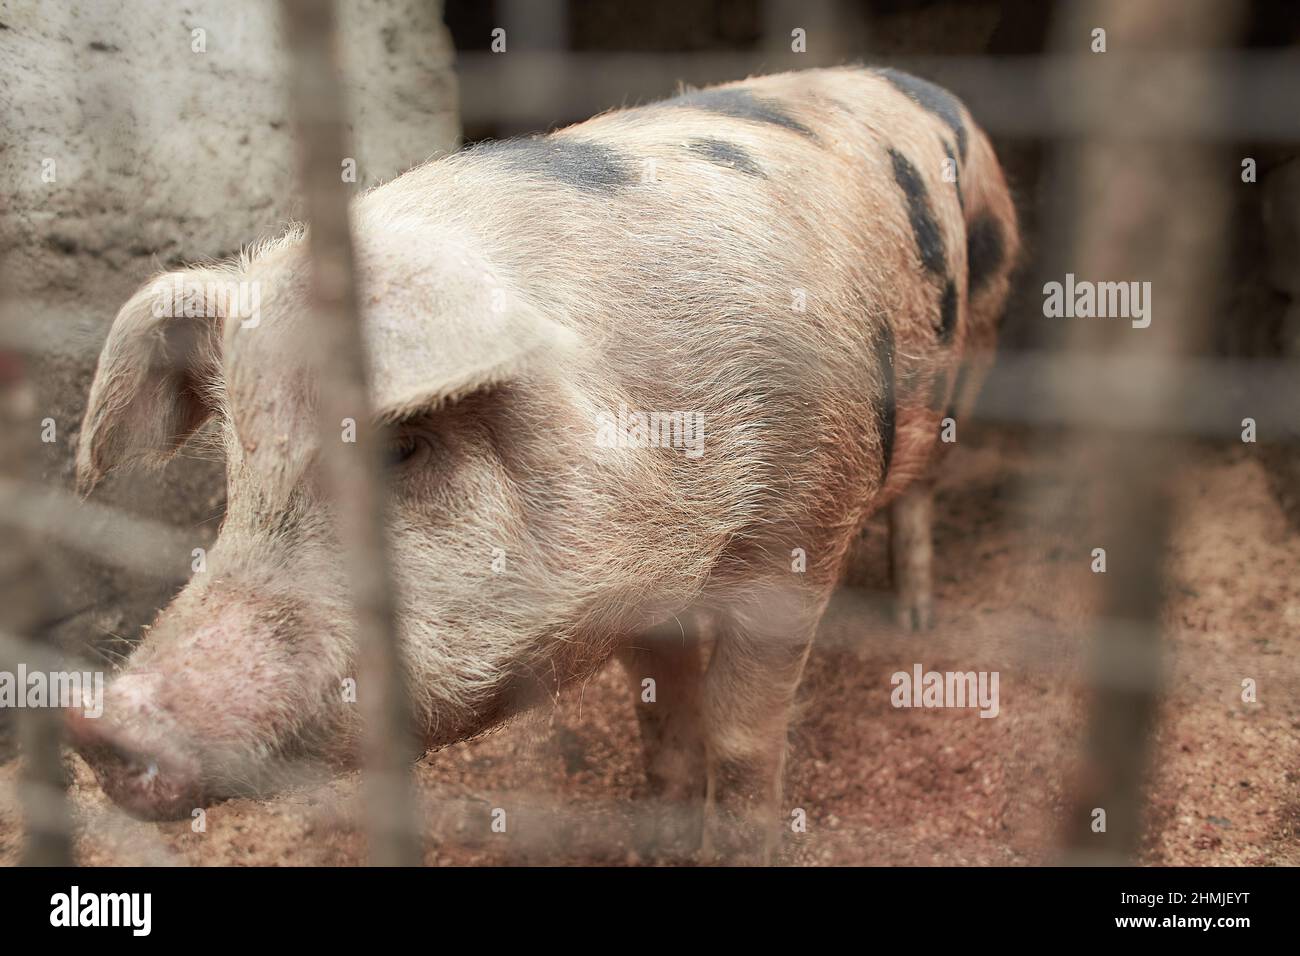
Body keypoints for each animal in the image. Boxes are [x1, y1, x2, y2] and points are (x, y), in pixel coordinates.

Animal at [68, 66, 1018, 862]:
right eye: (238, 464)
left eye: (398, 446)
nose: (101, 729)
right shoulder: (648, 584)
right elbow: (663, 717)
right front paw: (662, 844)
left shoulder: (803, 522)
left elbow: (742, 735)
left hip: (975, 340)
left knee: (923, 490)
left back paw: (915, 624)